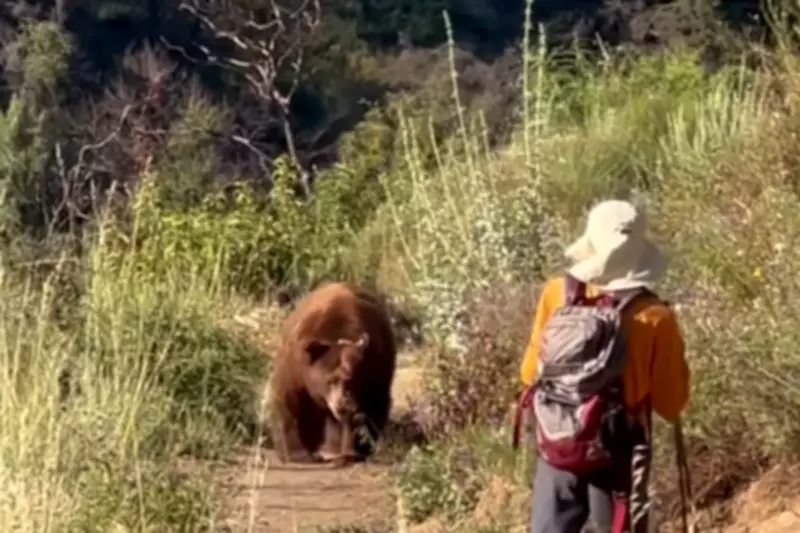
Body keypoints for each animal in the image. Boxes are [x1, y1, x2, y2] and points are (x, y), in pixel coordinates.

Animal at [267, 282, 397, 467]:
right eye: (332, 380)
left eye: (355, 380)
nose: (343, 405)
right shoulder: (297, 365)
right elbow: (288, 400)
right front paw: (296, 454)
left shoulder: (377, 368)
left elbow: (366, 411)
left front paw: (354, 451)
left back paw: (333, 451)